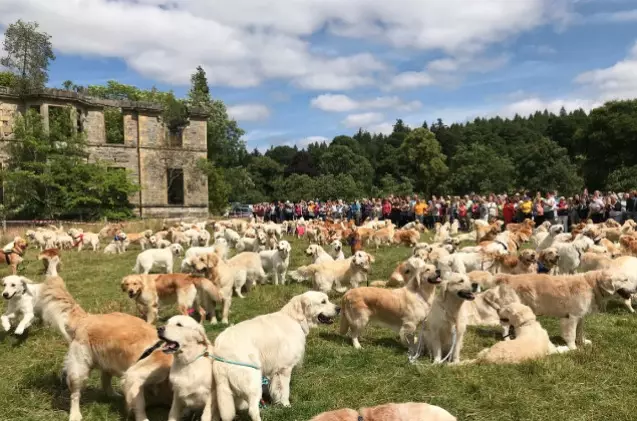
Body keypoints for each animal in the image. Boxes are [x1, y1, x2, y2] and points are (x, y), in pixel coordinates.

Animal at [212, 292, 342, 420]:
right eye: (323, 301)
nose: (339, 308)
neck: (295, 319)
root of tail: (219, 351)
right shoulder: (284, 369)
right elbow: (285, 390)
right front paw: (286, 405)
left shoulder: (275, 372)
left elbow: (275, 389)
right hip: (254, 379)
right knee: (252, 410)